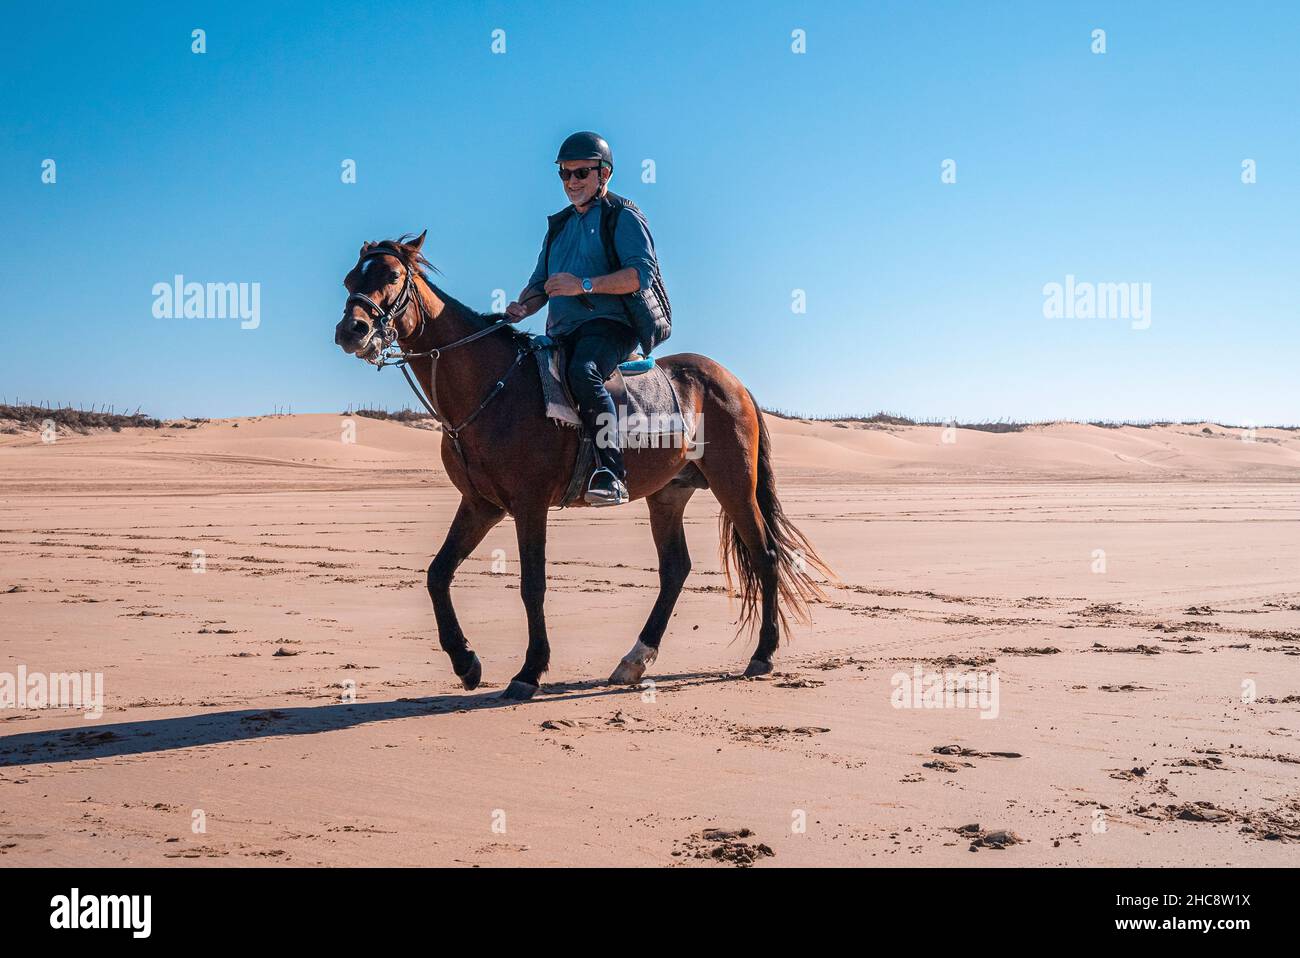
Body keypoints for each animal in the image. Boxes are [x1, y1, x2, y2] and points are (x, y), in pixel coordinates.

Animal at [333, 231, 835, 700]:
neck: (492, 387)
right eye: (350, 280)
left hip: (734, 484)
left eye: (391, 276)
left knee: (765, 555)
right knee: (675, 569)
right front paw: (466, 663)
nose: (351, 330)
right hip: (668, 494)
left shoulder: (528, 505)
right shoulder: (480, 504)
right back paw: (634, 659)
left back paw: (762, 654)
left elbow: (532, 585)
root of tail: (734, 382)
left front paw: (529, 671)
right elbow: (438, 574)